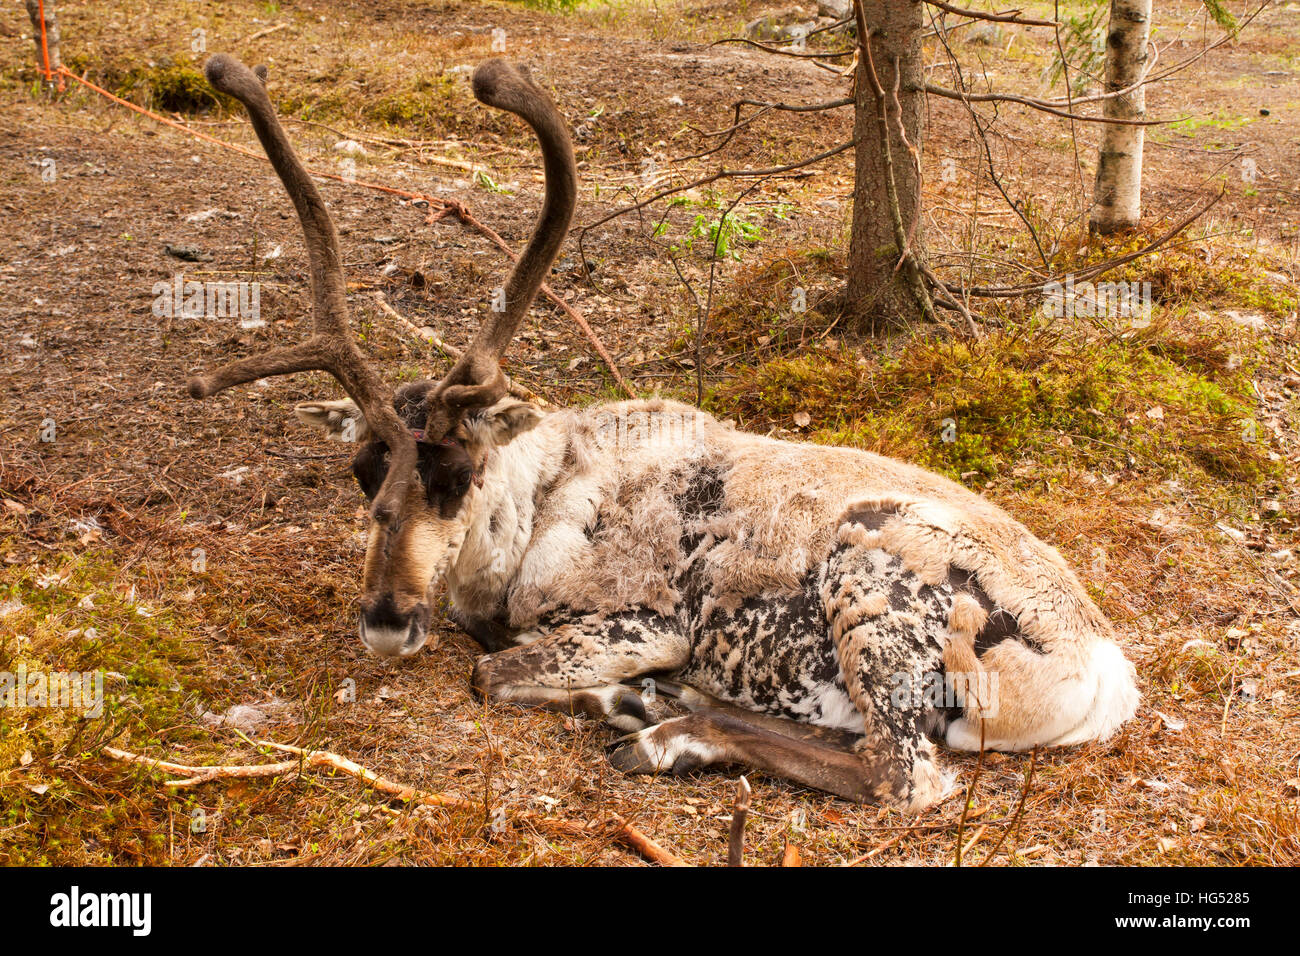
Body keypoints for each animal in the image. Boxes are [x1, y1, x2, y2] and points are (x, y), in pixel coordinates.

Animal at [187, 53, 1140, 809]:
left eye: (457, 471)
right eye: (361, 468)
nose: (386, 619)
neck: (538, 503)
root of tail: (1106, 675)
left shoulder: (644, 622)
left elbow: (492, 670)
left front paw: (616, 693)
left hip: (873, 589)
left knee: (904, 772)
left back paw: (660, 730)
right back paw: (659, 707)